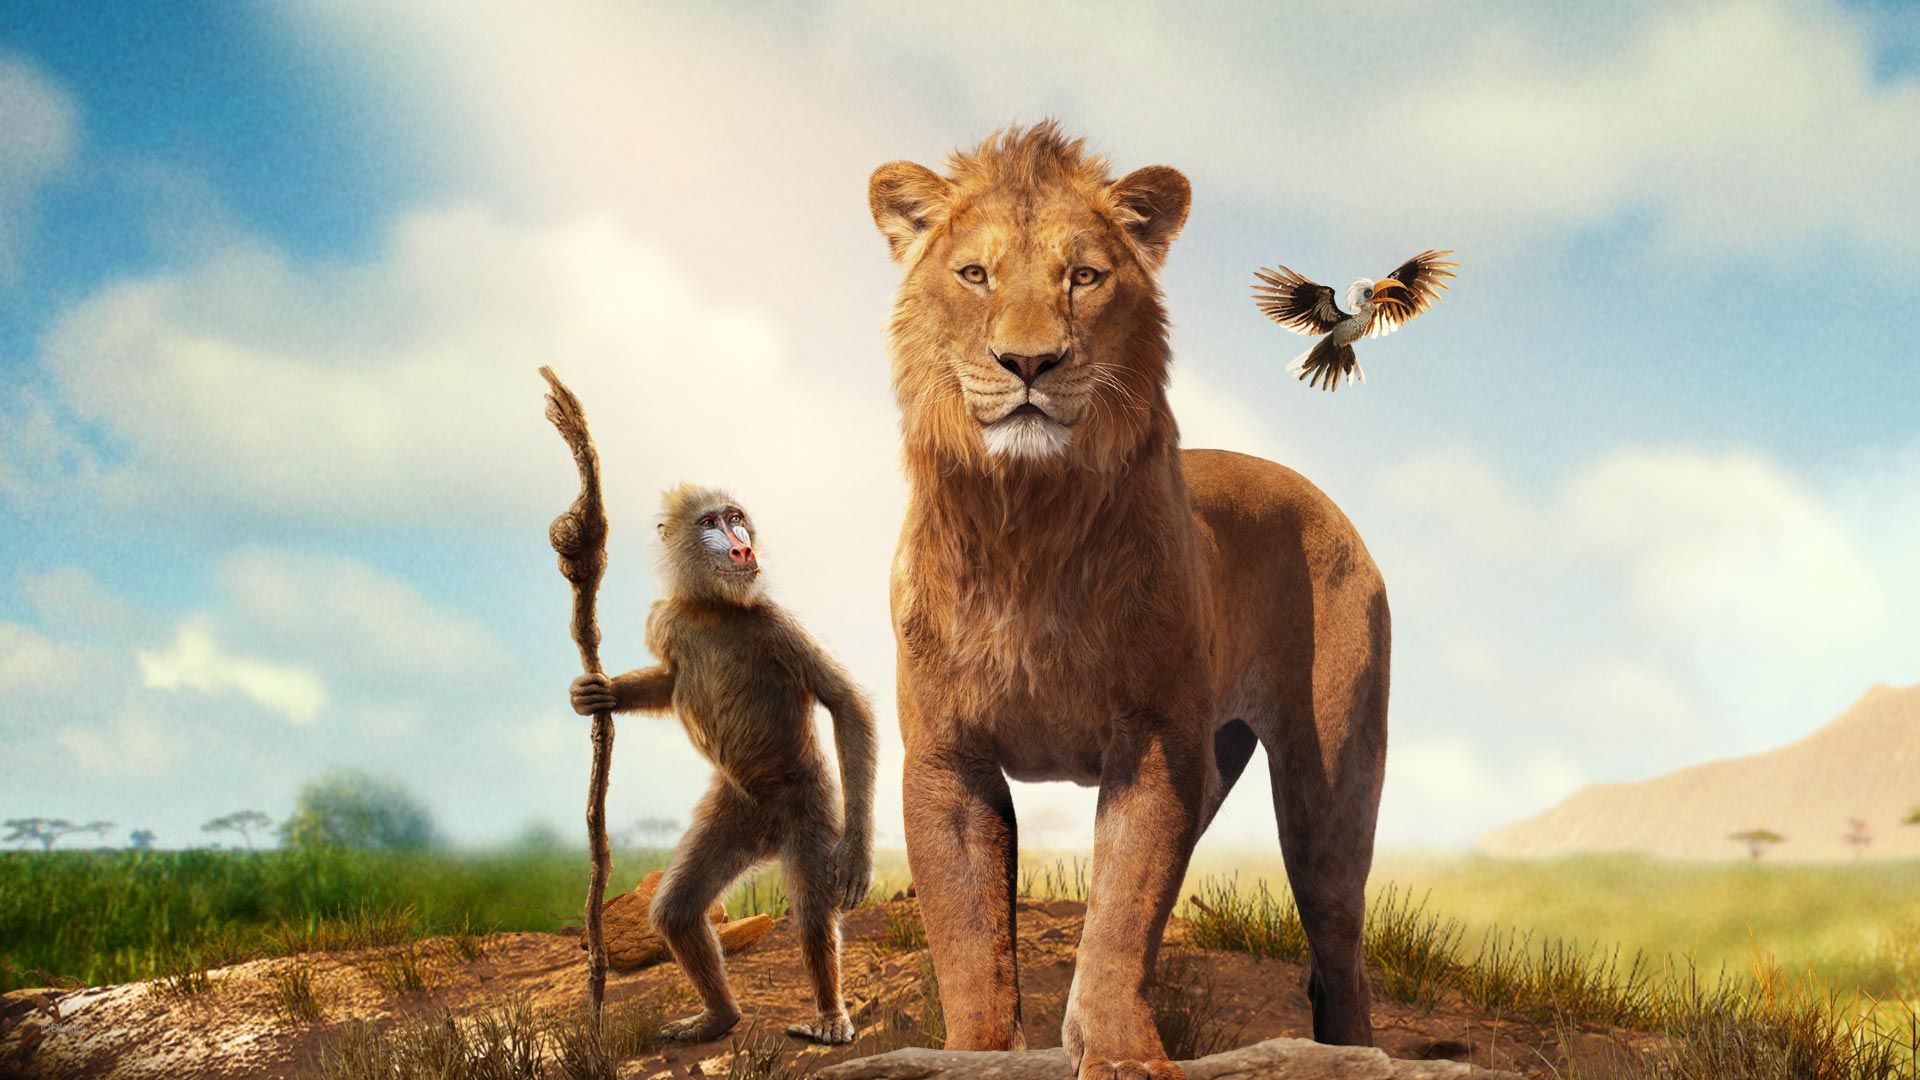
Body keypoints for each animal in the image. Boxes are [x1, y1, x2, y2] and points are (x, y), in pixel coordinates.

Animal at [866, 122, 1390, 1079]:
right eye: (975, 274)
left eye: (1084, 276)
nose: (1029, 362)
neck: (1027, 524)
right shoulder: (947, 758)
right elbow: (969, 940)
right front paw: (978, 1052)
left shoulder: (1151, 743)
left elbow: (1120, 911)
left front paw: (1119, 1051)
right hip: (1215, 761)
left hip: (1329, 784)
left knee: (1339, 945)